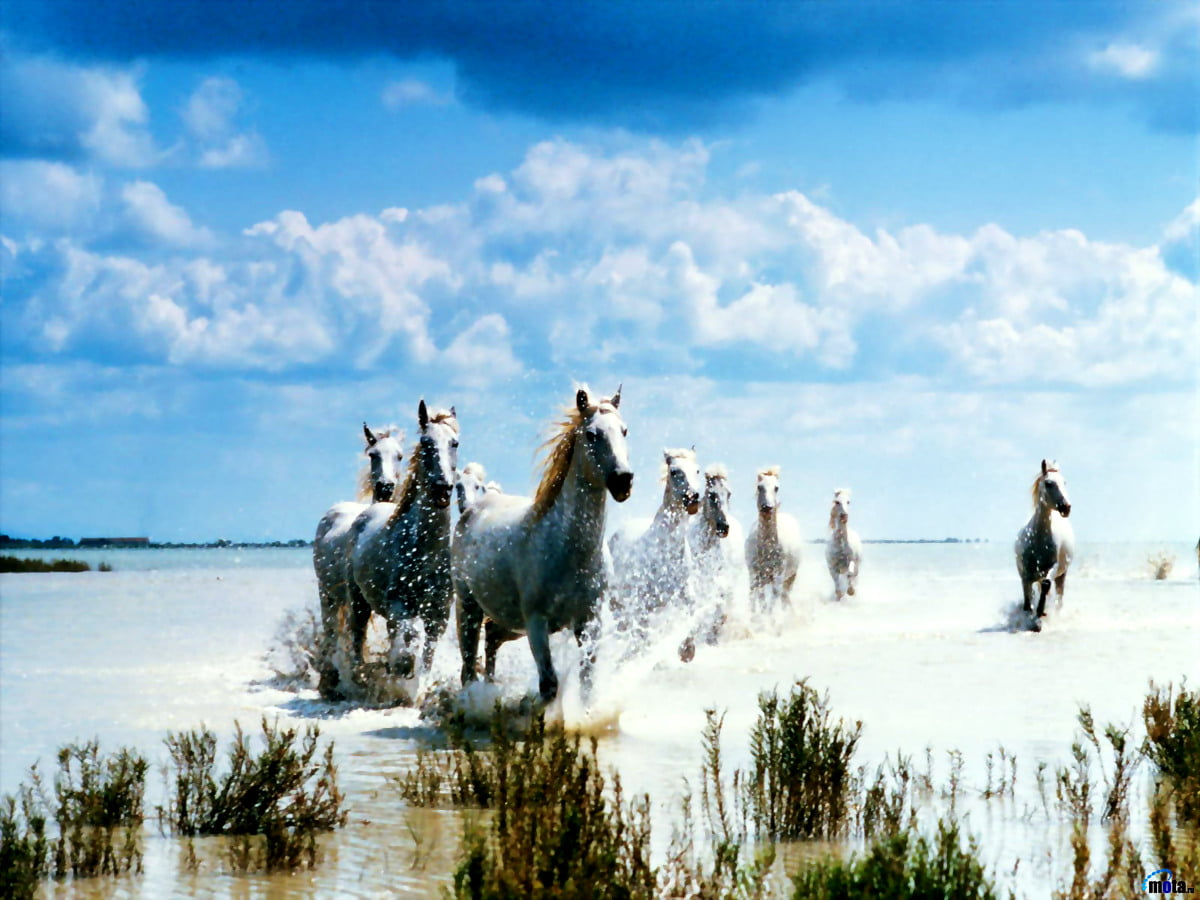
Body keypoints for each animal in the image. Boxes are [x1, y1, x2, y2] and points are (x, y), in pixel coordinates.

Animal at [452, 386, 633, 703]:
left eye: (624, 431)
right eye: (592, 434)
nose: (623, 480)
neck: (568, 549)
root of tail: (471, 511)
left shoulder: (589, 621)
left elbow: (587, 680)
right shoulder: (536, 622)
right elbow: (549, 685)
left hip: (506, 622)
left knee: (491, 645)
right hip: (469, 607)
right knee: (468, 667)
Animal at [745, 467, 803, 613]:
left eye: (776, 488)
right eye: (759, 487)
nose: (767, 507)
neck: (767, 549)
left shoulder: (779, 575)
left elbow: (773, 600)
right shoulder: (757, 574)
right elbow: (761, 599)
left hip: (791, 577)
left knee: (784, 596)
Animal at [1014, 459, 1074, 628]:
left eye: (1064, 482)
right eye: (1048, 483)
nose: (1066, 507)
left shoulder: (1052, 567)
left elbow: (1046, 584)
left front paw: (1040, 613)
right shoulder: (1025, 573)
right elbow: (1027, 596)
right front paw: (1030, 615)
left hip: (1062, 574)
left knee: (1058, 596)